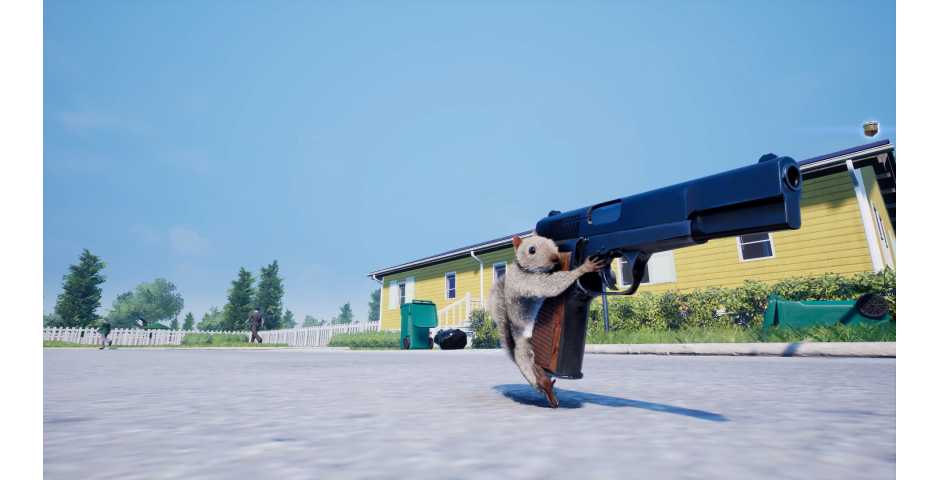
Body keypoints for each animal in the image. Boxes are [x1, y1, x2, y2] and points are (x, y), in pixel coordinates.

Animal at [489, 234, 608, 408]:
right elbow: (551, 286)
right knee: (530, 370)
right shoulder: (529, 282)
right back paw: (544, 385)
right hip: (525, 352)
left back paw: (549, 388)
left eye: (552, 243)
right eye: (532, 250)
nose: (555, 258)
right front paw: (585, 267)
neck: (522, 268)